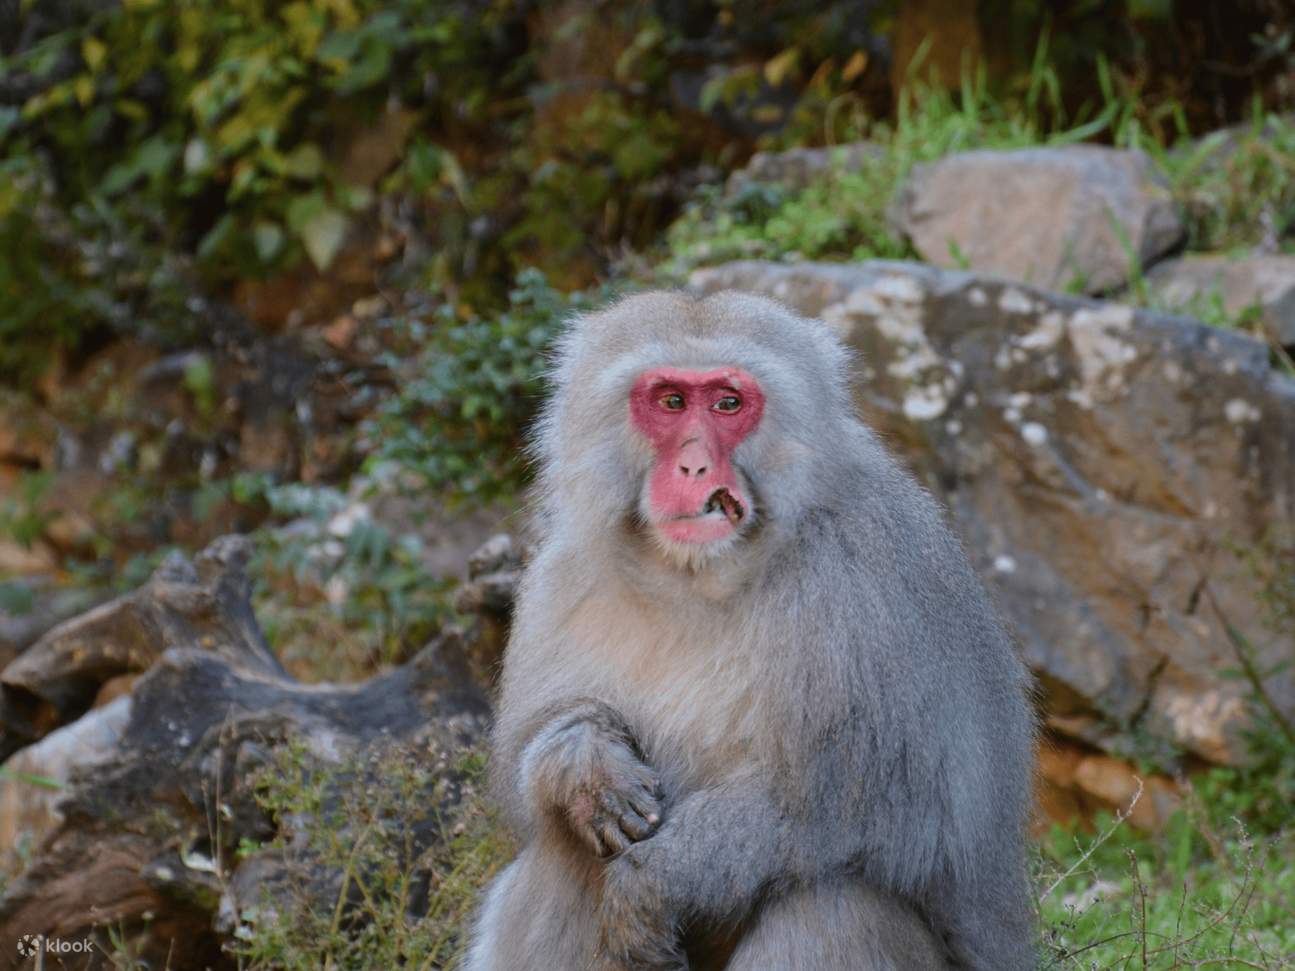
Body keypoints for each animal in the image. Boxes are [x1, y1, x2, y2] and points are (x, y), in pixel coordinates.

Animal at [464, 290, 1036, 971]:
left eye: (728, 404)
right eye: (671, 401)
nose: (693, 465)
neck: (700, 578)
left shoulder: (866, 591)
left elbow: (890, 810)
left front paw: (657, 881)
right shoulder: (562, 578)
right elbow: (532, 774)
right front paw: (583, 762)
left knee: (835, 903)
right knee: (563, 852)